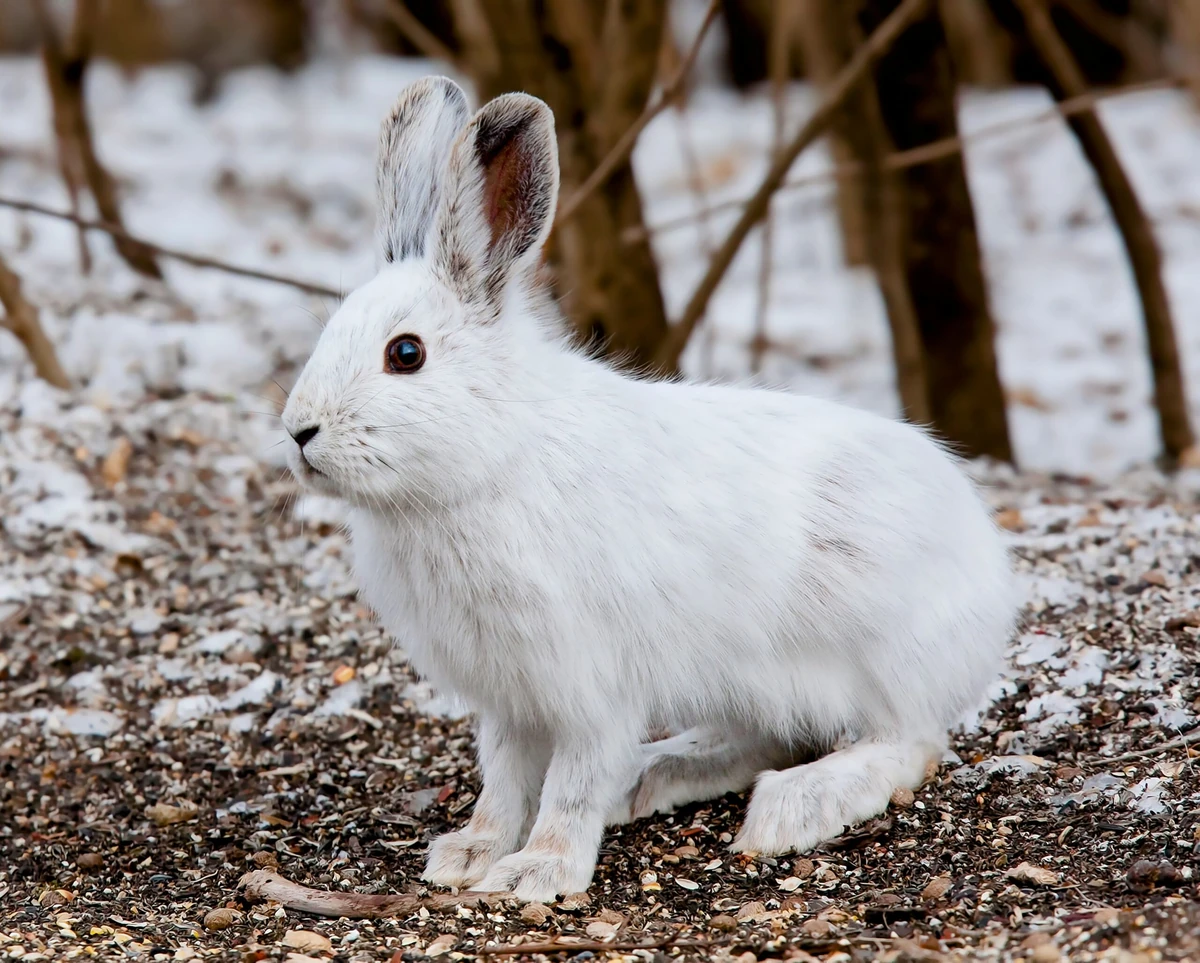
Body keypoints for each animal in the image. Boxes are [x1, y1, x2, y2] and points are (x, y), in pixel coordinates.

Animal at [280, 75, 1022, 904]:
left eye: (405, 354)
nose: (298, 431)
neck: (494, 453)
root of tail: (991, 587)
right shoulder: (509, 698)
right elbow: (502, 778)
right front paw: (469, 854)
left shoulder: (588, 684)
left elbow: (570, 782)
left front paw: (538, 870)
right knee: (767, 738)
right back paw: (653, 777)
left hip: (875, 655)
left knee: (907, 741)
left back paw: (786, 809)